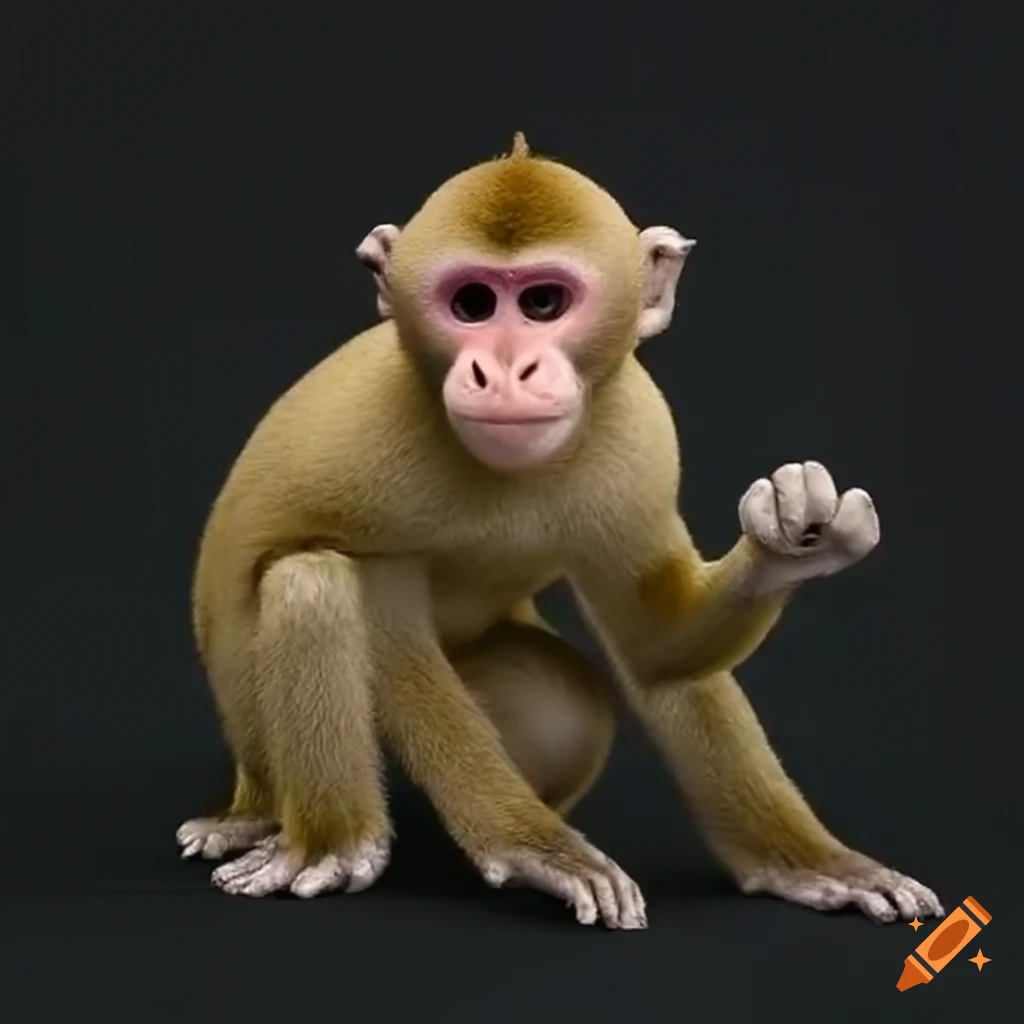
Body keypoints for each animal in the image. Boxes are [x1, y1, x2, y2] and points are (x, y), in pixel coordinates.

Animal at [176, 132, 943, 930]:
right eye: (473, 303)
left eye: (543, 302)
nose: (506, 370)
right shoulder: (375, 437)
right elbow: (380, 609)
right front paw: (534, 847)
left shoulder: (641, 433)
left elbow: (651, 646)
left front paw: (787, 541)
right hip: (259, 748)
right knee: (311, 581)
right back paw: (321, 839)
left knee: (580, 702)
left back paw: (789, 861)